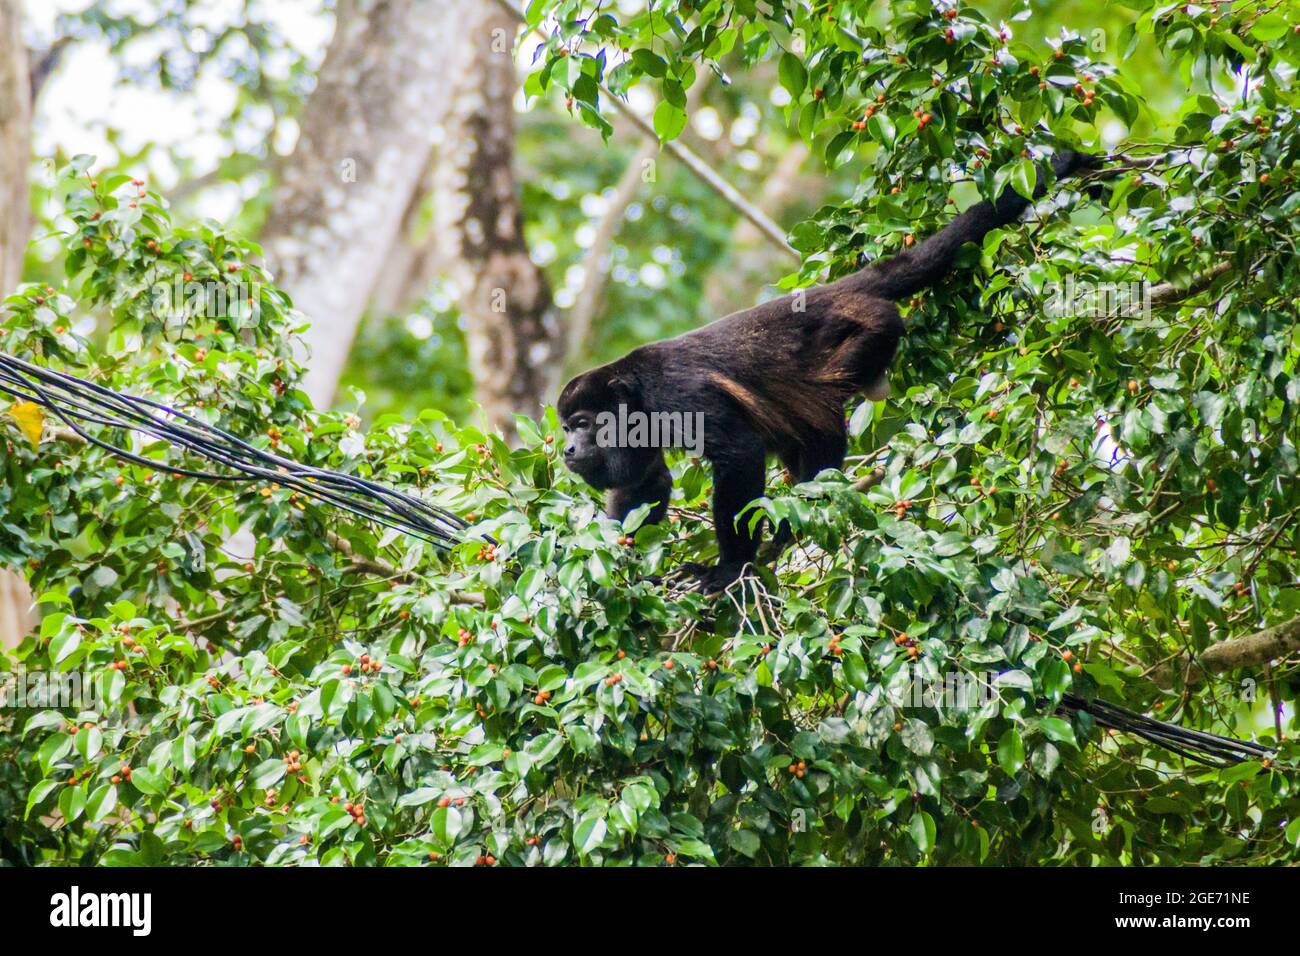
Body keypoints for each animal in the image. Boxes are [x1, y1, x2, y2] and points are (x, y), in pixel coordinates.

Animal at [559, 150, 1098, 591]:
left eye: (583, 424)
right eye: (566, 427)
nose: (566, 448)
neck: (637, 393)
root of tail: (836, 290)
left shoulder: (680, 396)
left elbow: (738, 454)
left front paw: (728, 570)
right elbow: (646, 482)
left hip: (870, 327)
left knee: (818, 407)